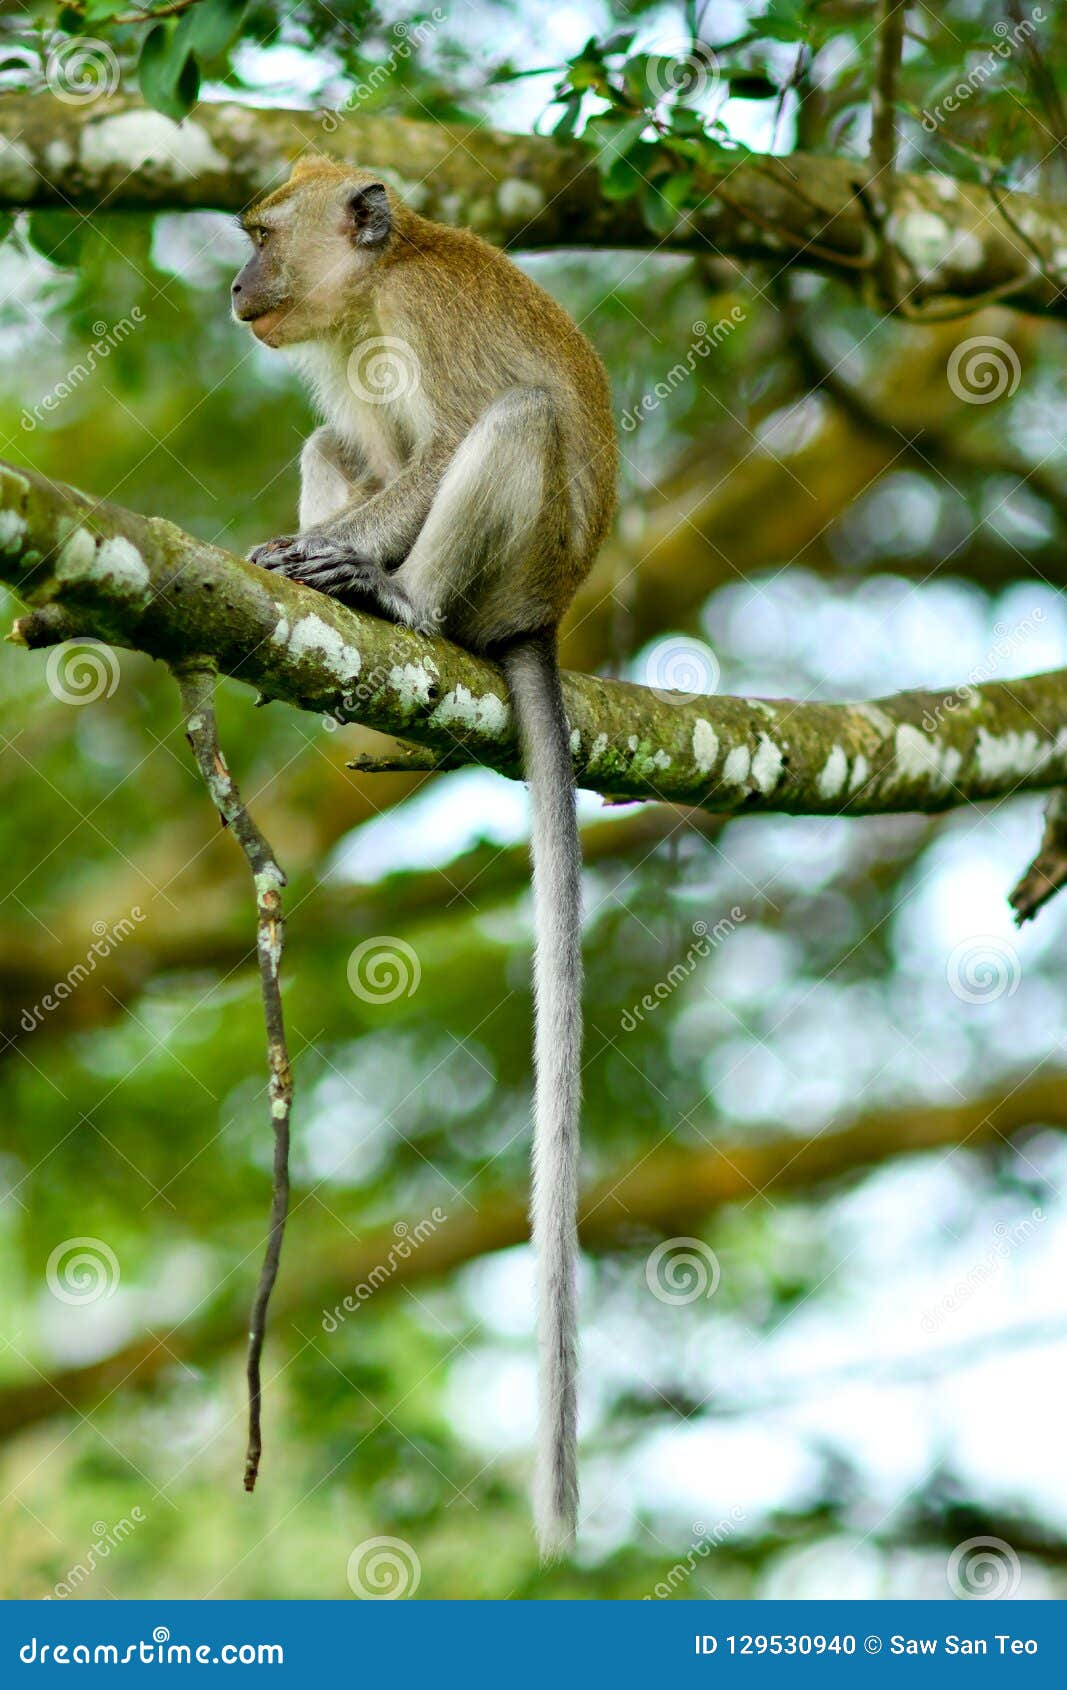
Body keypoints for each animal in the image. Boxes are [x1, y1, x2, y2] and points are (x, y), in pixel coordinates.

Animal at [231, 158, 616, 1558]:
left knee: (512, 428)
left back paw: (403, 606)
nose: (237, 281)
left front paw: (351, 562)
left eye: (259, 232)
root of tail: (544, 614)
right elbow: (357, 449)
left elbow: (453, 442)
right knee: (337, 447)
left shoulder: (420, 321)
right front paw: (313, 560)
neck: (370, 295)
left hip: (520, 564)